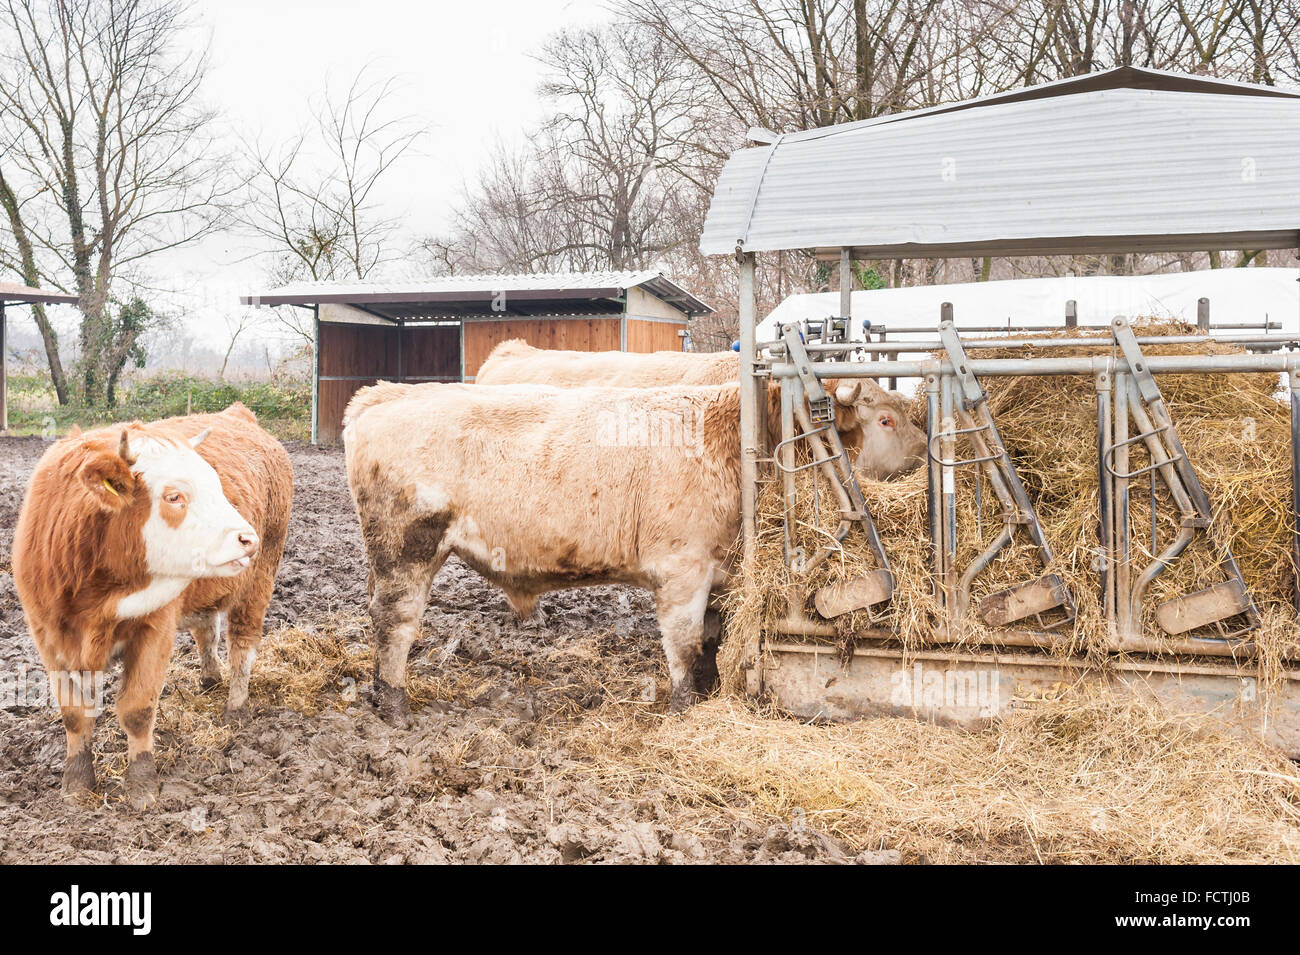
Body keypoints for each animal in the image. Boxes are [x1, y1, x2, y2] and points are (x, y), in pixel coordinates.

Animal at [10, 403, 293, 808]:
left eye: (216, 484)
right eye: (174, 496)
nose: (247, 538)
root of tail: (238, 415)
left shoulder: (154, 629)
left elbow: (137, 709)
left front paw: (142, 784)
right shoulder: (48, 638)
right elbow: (74, 714)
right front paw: (77, 781)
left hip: (260, 579)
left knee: (243, 646)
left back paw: (235, 708)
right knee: (206, 630)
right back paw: (210, 678)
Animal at [342, 379, 915, 727]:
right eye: (886, 419)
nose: (922, 456)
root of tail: (384, 394)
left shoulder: (713, 574)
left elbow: (709, 638)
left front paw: (706, 690)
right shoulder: (682, 569)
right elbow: (683, 644)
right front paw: (683, 706)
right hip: (408, 549)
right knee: (395, 623)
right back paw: (395, 703)